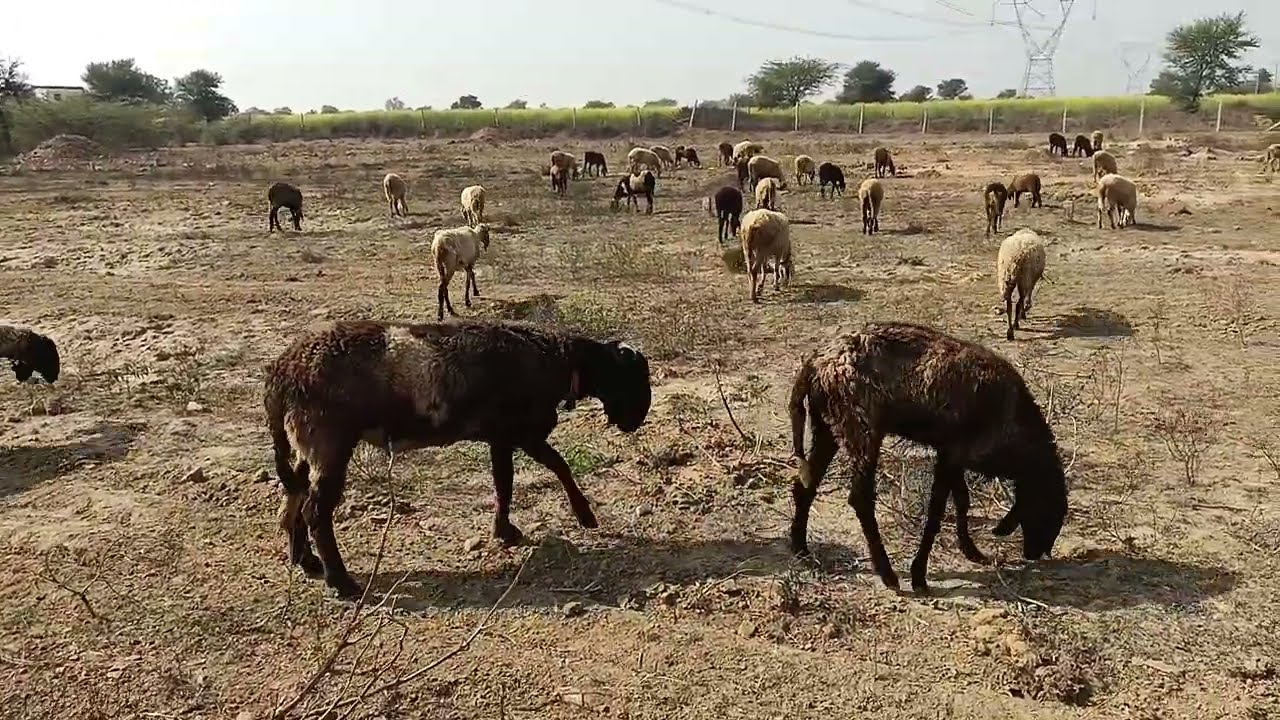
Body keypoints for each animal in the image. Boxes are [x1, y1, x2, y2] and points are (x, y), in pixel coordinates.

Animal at [264, 318, 653, 597]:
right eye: (635, 377)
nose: (636, 420)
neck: (557, 360)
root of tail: (282, 372)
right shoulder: (523, 433)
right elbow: (559, 465)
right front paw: (585, 515)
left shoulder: (501, 439)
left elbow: (504, 484)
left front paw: (504, 531)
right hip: (329, 442)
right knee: (316, 509)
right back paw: (340, 581)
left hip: (306, 444)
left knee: (295, 496)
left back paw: (307, 561)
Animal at [787, 320, 1069, 594]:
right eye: (1049, 510)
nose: (1036, 554)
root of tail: (814, 363)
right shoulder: (952, 456)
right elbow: (936, 512)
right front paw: (919, 575)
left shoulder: (952, 454)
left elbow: (962, 500)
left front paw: (971, 551)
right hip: (861, 430)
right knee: (860, 499)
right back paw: (887, 574)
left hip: (827, 428)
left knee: (805, 485)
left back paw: (800, 547)